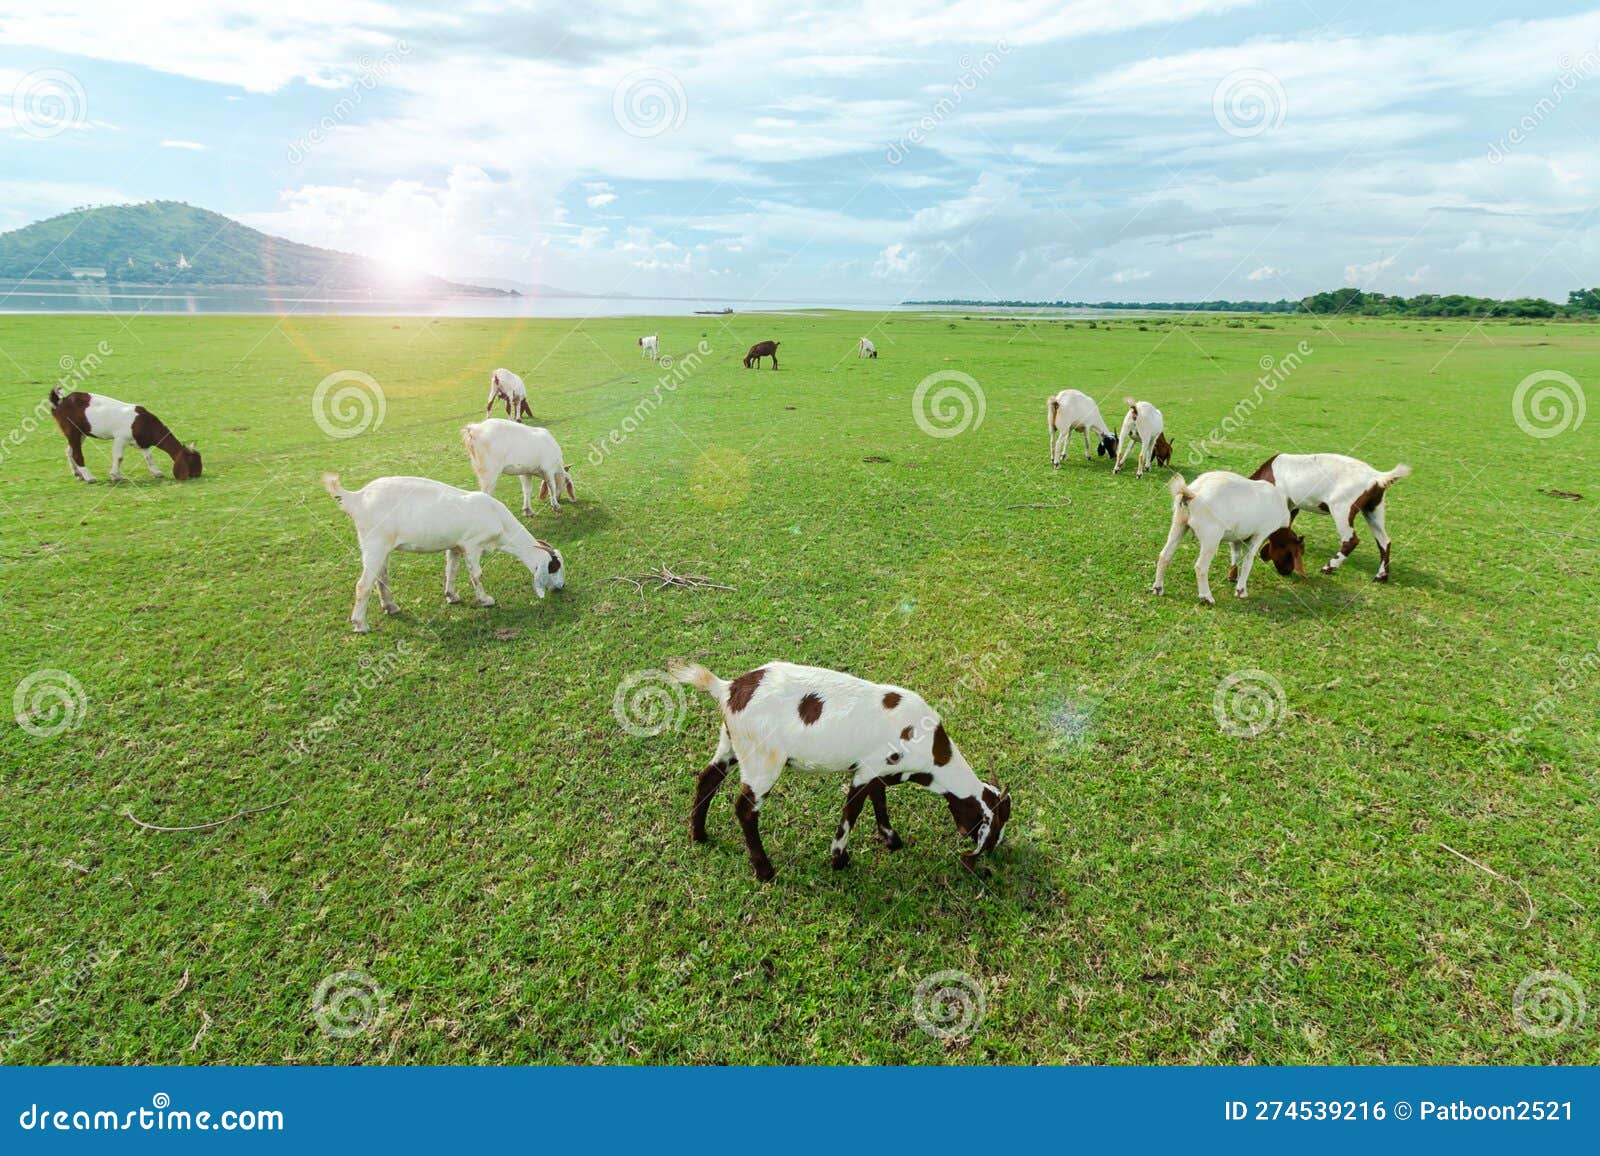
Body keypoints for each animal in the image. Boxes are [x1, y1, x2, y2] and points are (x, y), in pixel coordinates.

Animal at [48, 390, 202, 482]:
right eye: (192, 462)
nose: (198, 475)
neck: (144, 422)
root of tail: (60, 401)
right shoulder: (120, 439)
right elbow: (119, 457)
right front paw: (116, 475)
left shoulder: (143, 442)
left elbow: (148, 457)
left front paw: (157, 473)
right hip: (72, 430)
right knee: (76, 453)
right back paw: (89, 477)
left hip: (81, 433)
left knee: (69, 451)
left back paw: (78, 474)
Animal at [322, 473, 563, 632]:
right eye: (554, 567)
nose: (561, 587)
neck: (500, 522)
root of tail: (357, 498)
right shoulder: (472, 544)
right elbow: (476, 575)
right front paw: (485, 600)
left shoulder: (455, 545)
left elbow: (451, 570)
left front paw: (451, 595)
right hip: (374, 543)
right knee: (363, 585)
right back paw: (360, 624)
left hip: (381, 546)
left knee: (381, 578)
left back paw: (390, 607)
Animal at [669, 659, 1011, 881]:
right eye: (991, 826)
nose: (992, 852)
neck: (930, 751)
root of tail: (727, 689)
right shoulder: (865, 770)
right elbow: (853, 811)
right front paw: (839, 859)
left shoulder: (877, 769)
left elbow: (878, 800)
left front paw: (891, 839)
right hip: (762, 758)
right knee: (745, 809)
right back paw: (764, 870)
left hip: (731, 742)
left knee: (707, 779)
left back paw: (698, 835)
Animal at [1153, 472, 1305, 604]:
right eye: (1293, 554)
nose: (1287, 573)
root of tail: (1192, 493)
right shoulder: (1260, 533)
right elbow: (1248, 561)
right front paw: (1241, 590)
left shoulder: (1237, 535)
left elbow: (1236, 554)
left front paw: (1233, 577)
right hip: (1211, 535)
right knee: (1201, 566)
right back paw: (1206, 597)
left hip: (1179, 523)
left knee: (1164, 555)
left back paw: (1158, 588)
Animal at [1252, 453, 1411, 581]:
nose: (1286, 571)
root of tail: (1376, 477)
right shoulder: (1293, 505)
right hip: (1373, 509)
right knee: (1384, 541)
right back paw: (1381, 575)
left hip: (1342, 508)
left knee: (1351, 540)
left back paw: (1328, 568)